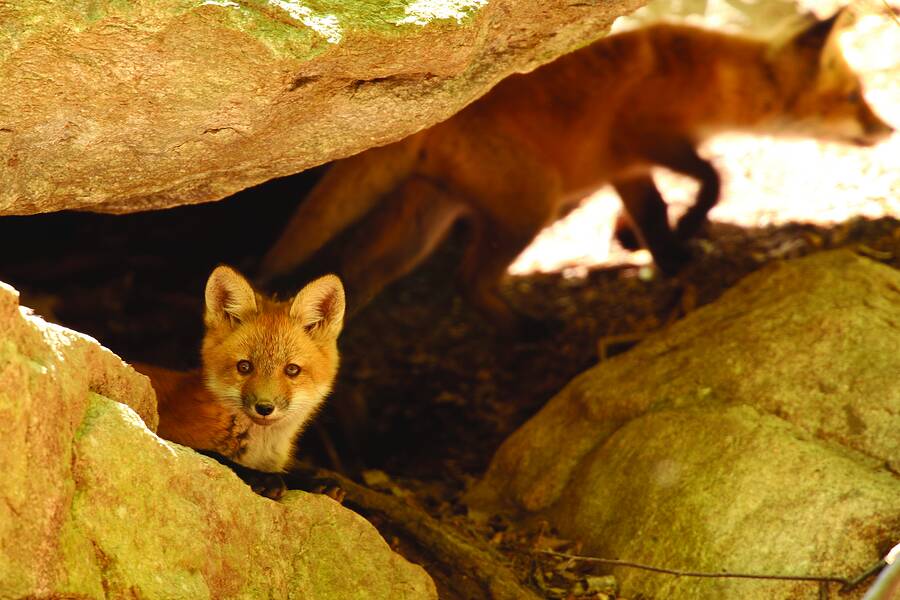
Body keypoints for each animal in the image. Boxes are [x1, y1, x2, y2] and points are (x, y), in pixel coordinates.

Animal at [134, 265, 345, 499]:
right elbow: (218, 458)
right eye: (244, 366)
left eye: (292, 370)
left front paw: (313, 480)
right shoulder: (166, 433)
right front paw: (264, 479)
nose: (264, 407)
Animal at [258, 8, 893, 333]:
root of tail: (435, 119)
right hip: (530, 207)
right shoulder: (646, 140)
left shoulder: (629, 168)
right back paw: (533, 328)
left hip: (425, 220)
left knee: (357, 270)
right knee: (467, 282)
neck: (709, 78)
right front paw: (686, 235)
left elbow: (656, 214)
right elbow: (714, 179)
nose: (887, 130)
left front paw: (660, 255)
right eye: (855, 97)